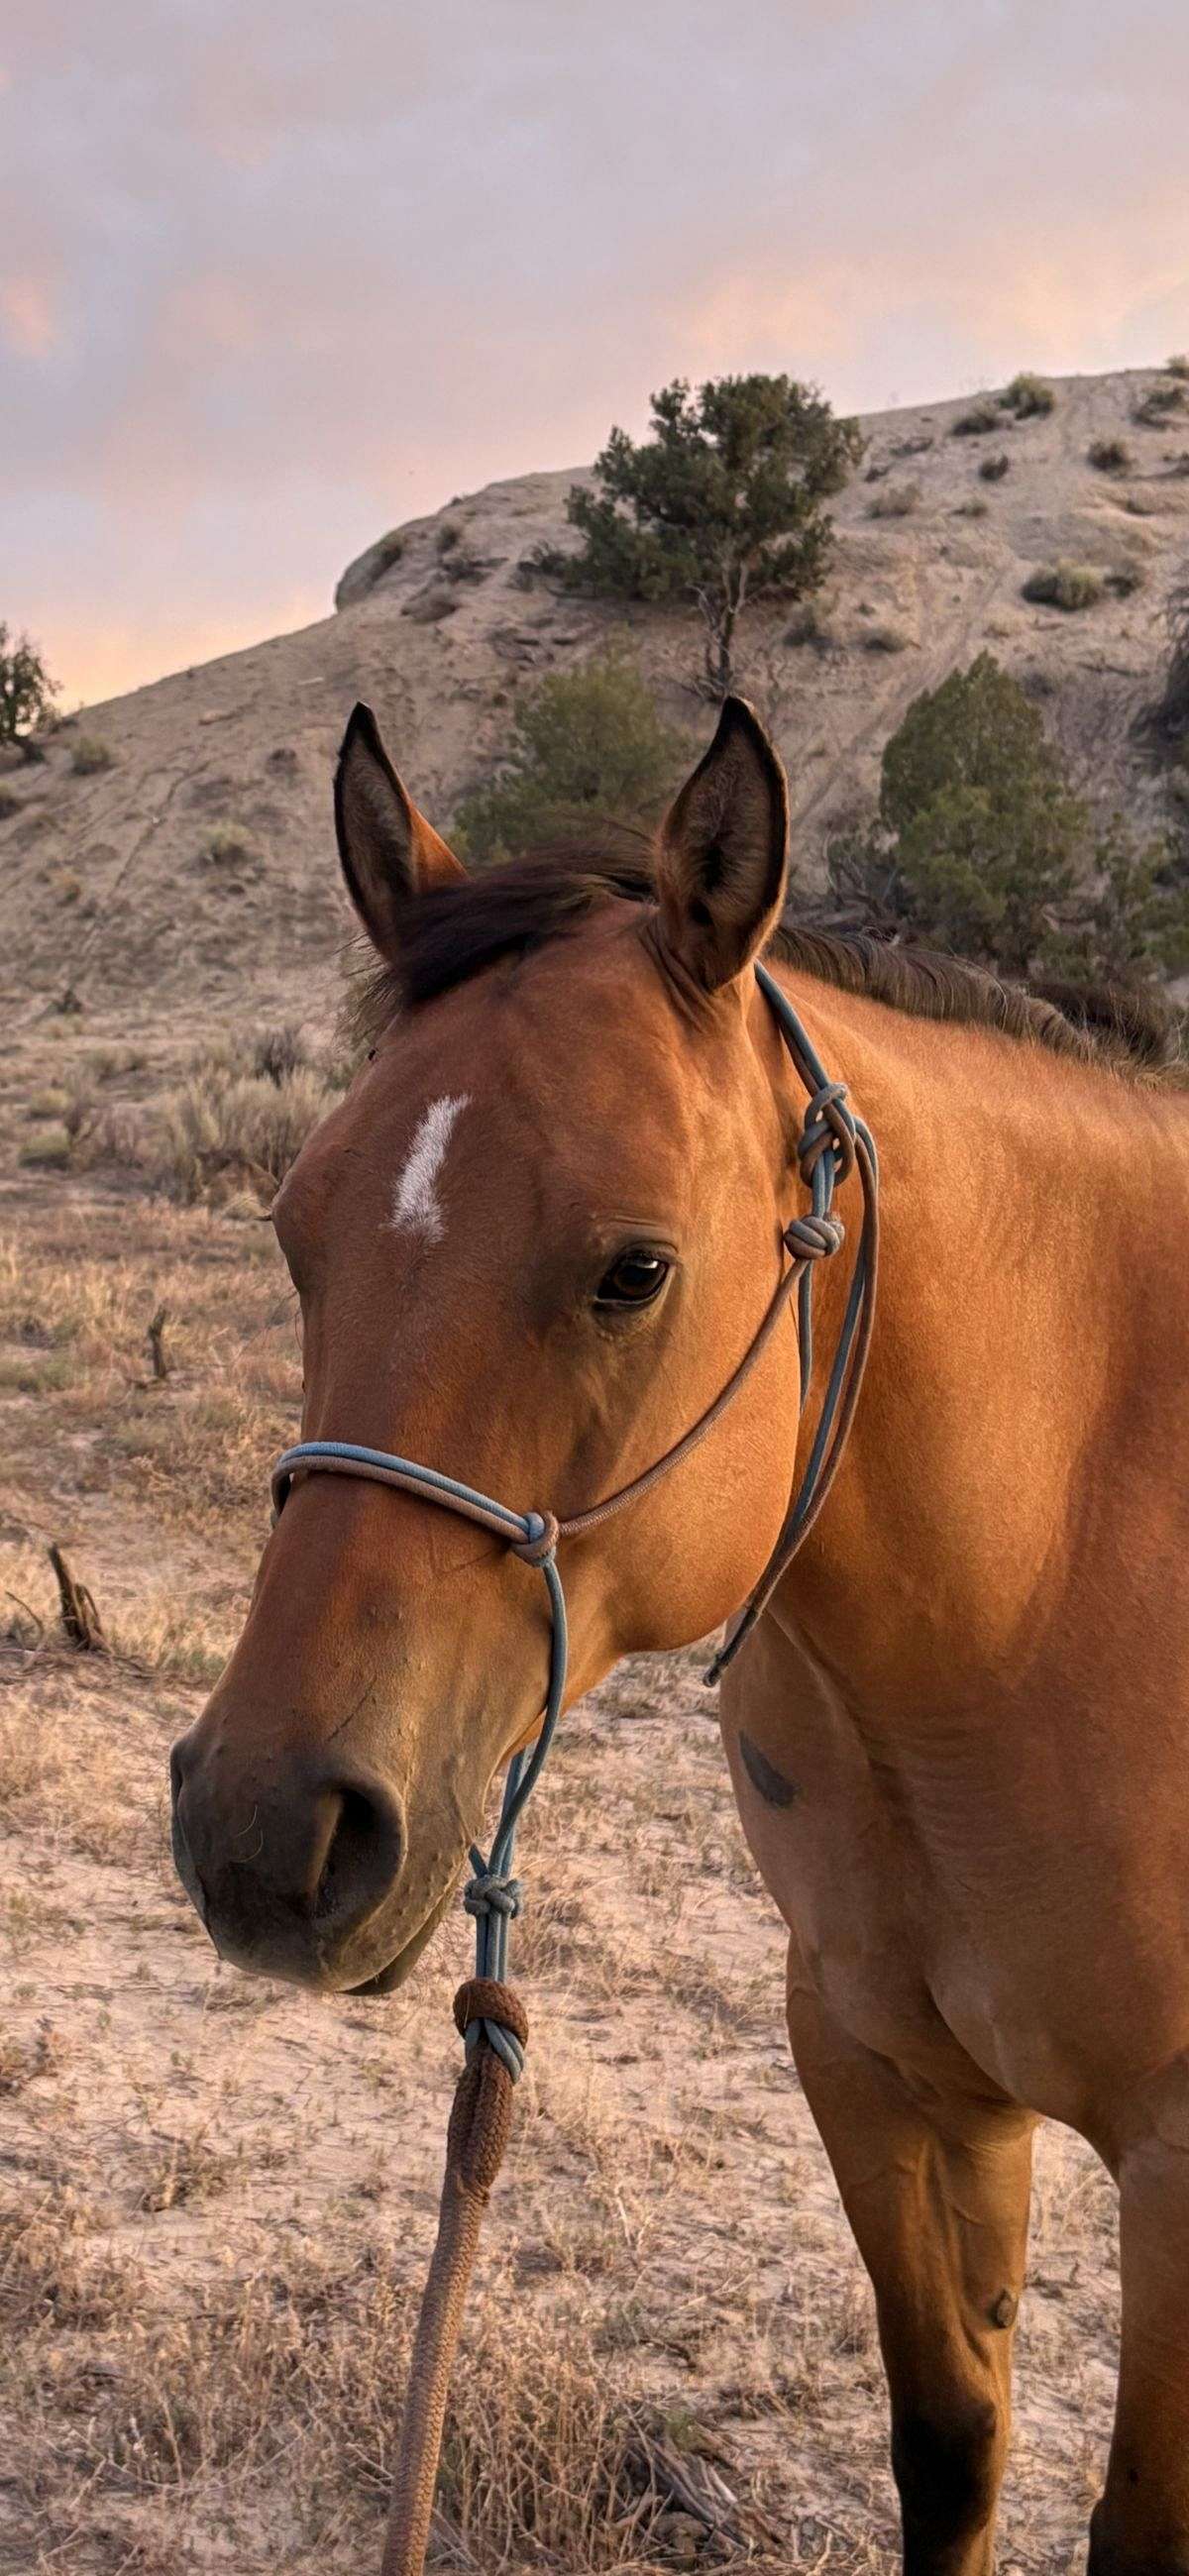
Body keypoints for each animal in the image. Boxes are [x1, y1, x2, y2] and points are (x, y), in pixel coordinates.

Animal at [171, 693, 1189, 2574]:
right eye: (295, 1233)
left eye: (633, 1270)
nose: (266, 1834)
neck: (1059, 1560)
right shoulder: (882, 2069)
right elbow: (952, 2449)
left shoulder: (1178, 2166)